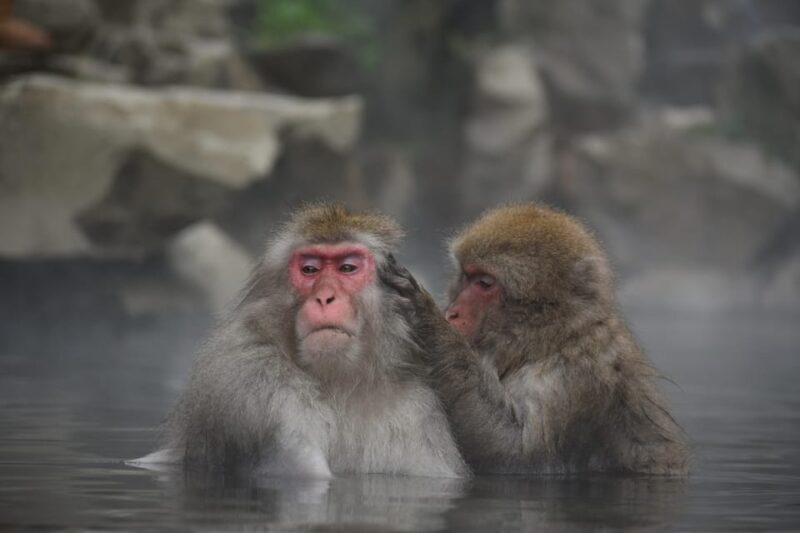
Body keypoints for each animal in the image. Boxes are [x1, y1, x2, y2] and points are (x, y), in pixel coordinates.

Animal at [135, 204, 468, 479]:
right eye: (310, 269)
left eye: (347, 268)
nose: (325, 297)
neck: (340, 383)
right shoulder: (253, 380)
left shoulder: (416, 411)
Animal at [382, 203, 689, 475]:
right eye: (467, 276)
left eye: (485, 283)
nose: (451, 313)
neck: (551, 338)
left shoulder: (574, 378)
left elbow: (519, 455)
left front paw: (427, 320)